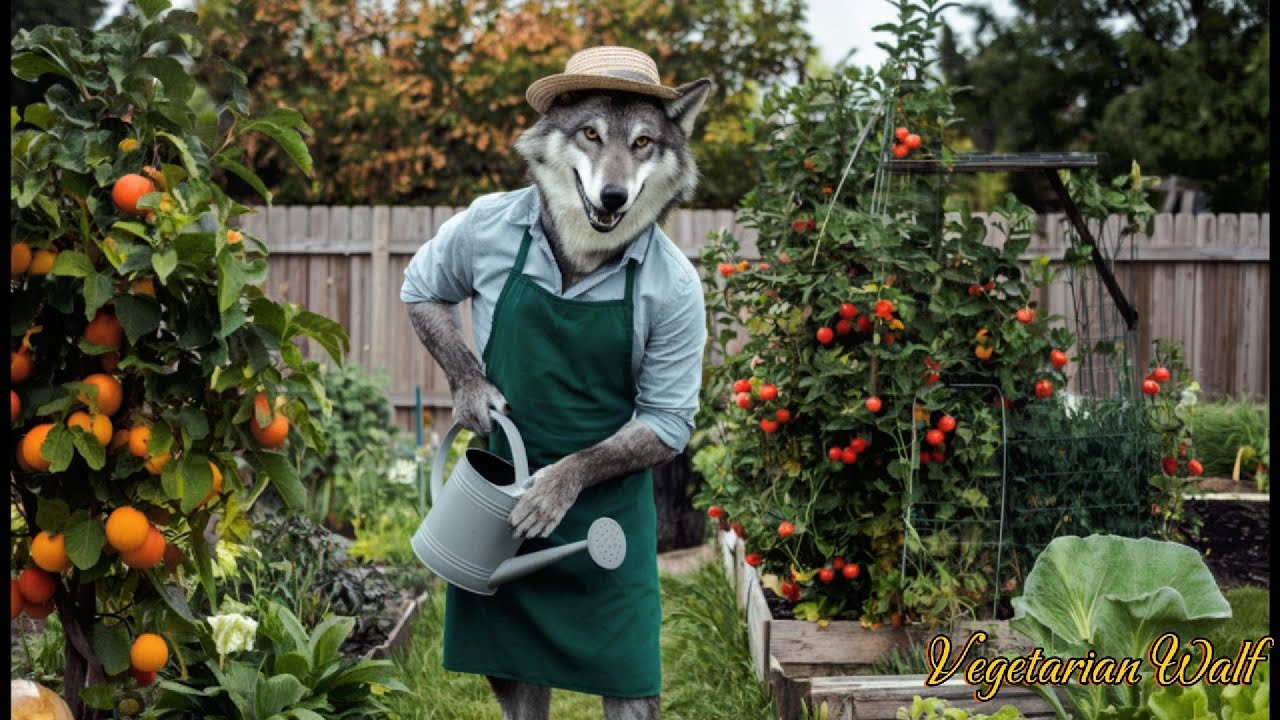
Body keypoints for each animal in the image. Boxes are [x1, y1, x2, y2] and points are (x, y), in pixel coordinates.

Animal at [405, 77, 714, 720]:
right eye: (590, 133)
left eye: (642, 142)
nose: (614, 195)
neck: (586, 254)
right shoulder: (469, 232)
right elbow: (422, 288)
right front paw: (476, 401)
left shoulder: (683, 315)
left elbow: (654, 422)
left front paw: (551, 489)